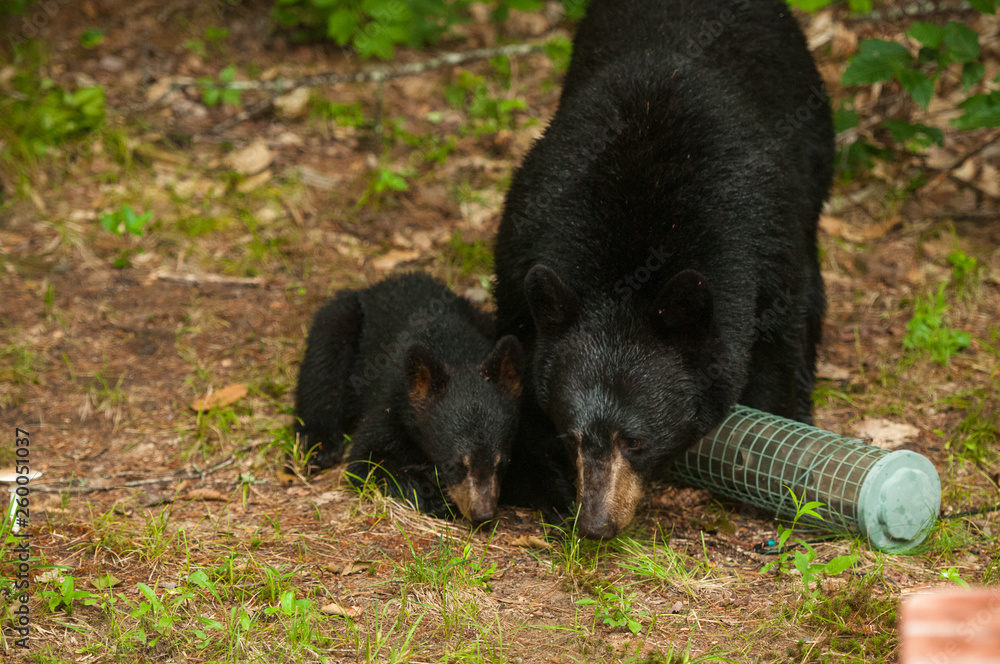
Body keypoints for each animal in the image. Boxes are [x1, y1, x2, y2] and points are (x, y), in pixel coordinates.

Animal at [293, 273, 524, 523]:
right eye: (454, 465)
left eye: (502, 463)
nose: (482, 514)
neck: (452, 347)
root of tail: (380, 284)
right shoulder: (392, 401)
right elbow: (366, 459)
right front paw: (432, 493)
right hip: (340, 318)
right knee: (322, 369)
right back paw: (317, 447)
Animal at [493, 0, 835, 539]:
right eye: (572, 437)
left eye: (635, 440)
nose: (597, 524)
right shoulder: (522, 245)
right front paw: (545, 481)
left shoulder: (763, 244)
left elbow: (779, 347)